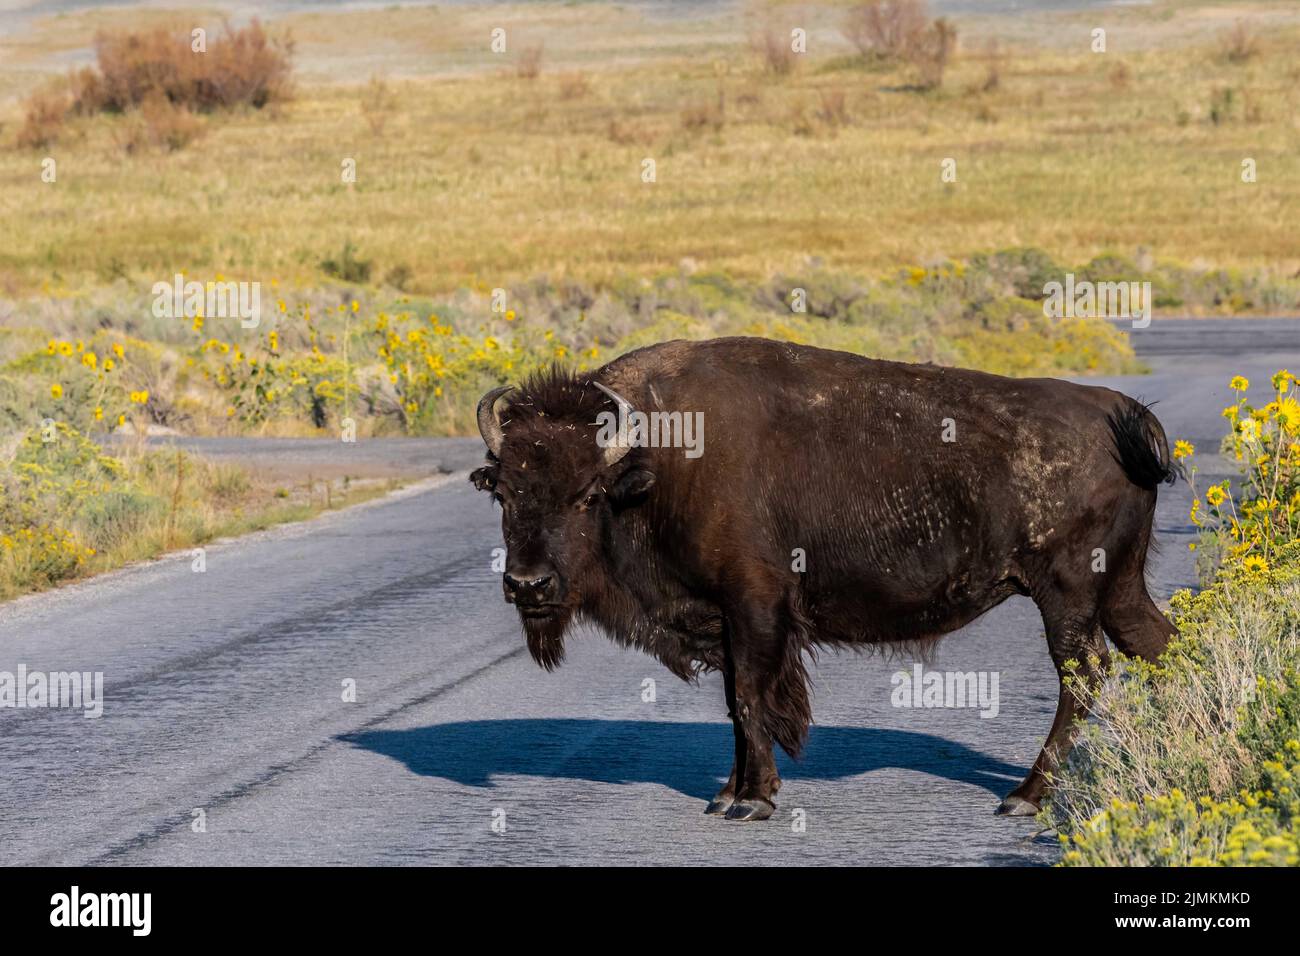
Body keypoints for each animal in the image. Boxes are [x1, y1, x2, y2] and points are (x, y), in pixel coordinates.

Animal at [471, 336, 1176, 821]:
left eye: (588, 494)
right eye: (503, 492)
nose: (528, 586)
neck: (654, 463)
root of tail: (1121, 410)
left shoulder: (755, 608)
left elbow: (751, 697)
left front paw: (752, 801)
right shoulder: (727, 621)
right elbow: (735, 702)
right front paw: (728, 792)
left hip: (1067, 595)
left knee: (1083, 674)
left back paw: (1024, 796)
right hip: (1118, 591)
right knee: (1158, 646)